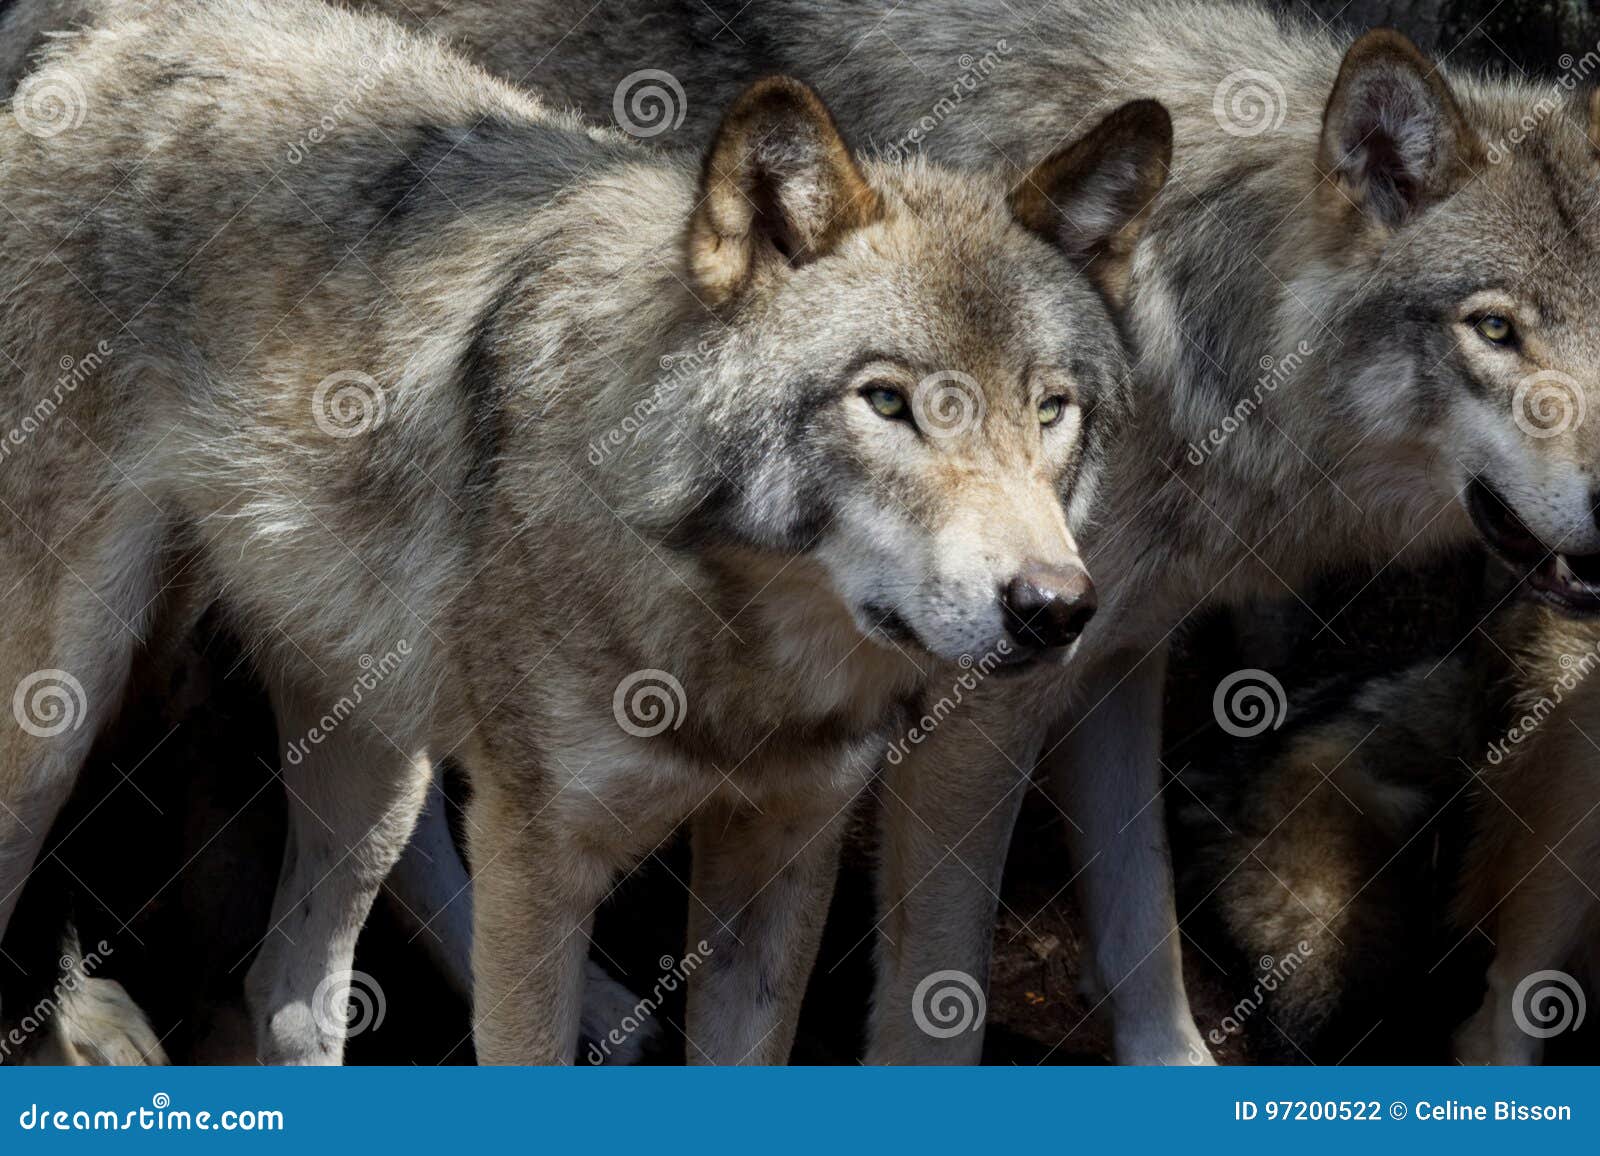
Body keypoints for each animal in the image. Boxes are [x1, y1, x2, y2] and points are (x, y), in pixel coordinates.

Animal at [0, 0, 1170, 1063]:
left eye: (1051, 409)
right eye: (887, 402)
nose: (1054, 607)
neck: (739, 657)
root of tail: (109, 26)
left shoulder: (786, 852)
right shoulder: (537, 862)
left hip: (378, 758)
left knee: (289, 993)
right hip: (56, 725)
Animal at [289, 0, 1600, 1063]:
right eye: (1496, 329)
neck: (1195, 308)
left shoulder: (1116, 654)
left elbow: (1143, 925)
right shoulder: (971, 710)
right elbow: (940, 997)